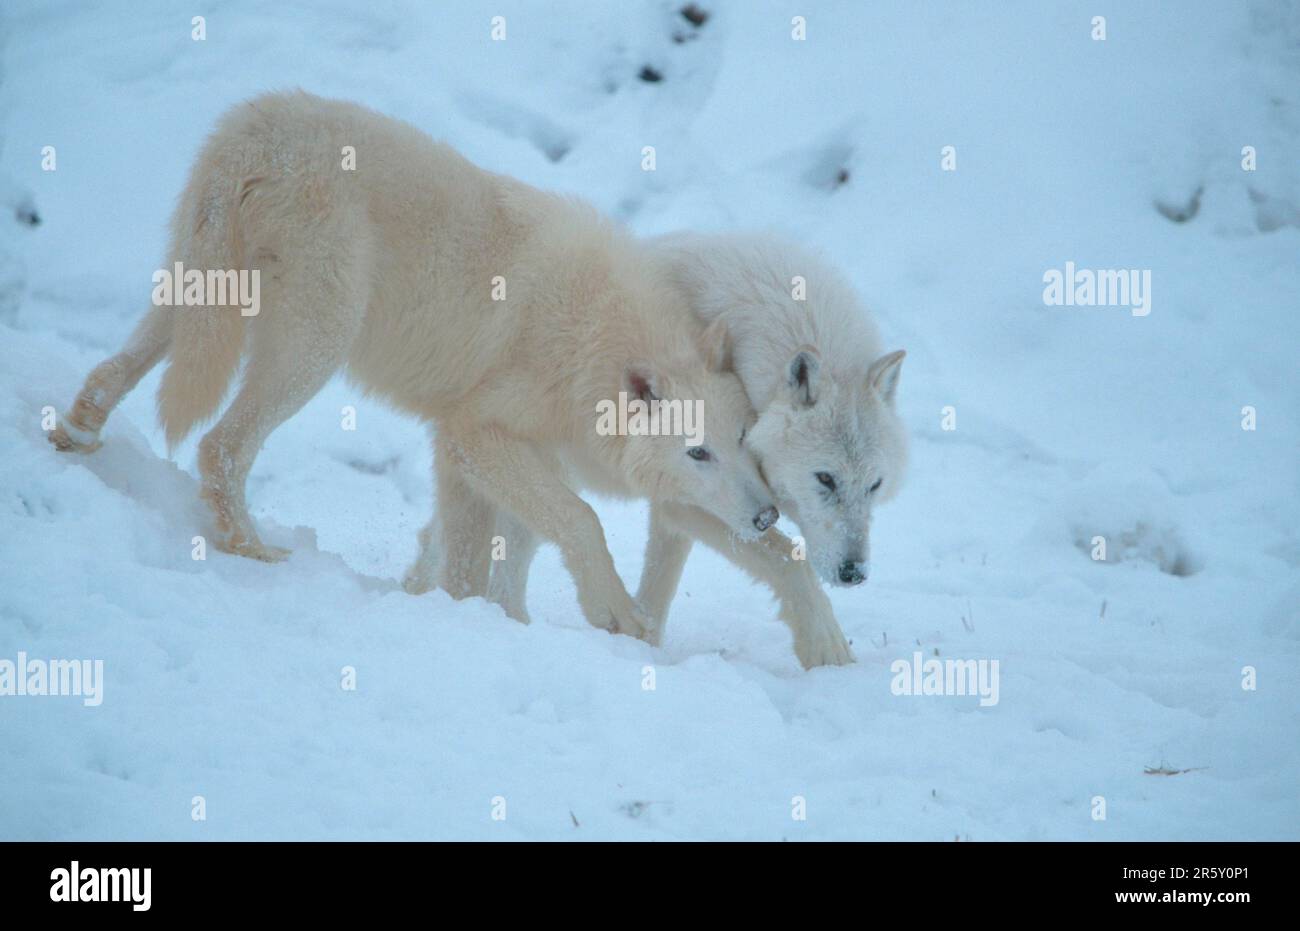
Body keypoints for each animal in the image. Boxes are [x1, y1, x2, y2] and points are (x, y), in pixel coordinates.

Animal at [46, 91, 777, 639]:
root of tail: (258, 128)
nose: (769, 517)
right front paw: (610, 613)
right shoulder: (474, 432)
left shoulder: (488, 454)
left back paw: (75, 437)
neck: (598, 340)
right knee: (220, 445)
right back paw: (252, 549)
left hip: (196, 305)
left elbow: (499, 552)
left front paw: (496, 617)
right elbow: (573, 523)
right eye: (698, 453)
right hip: (314, 347)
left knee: (112, 373)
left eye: (744, 437)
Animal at [475, 233, 907, 667]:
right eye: (825, 479)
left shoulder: (687, 500)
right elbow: (788, 561)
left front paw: (642, 643)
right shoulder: (689, 495)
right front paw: (828, 651)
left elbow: (661, 581)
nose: (855, 573)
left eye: (874, 486)